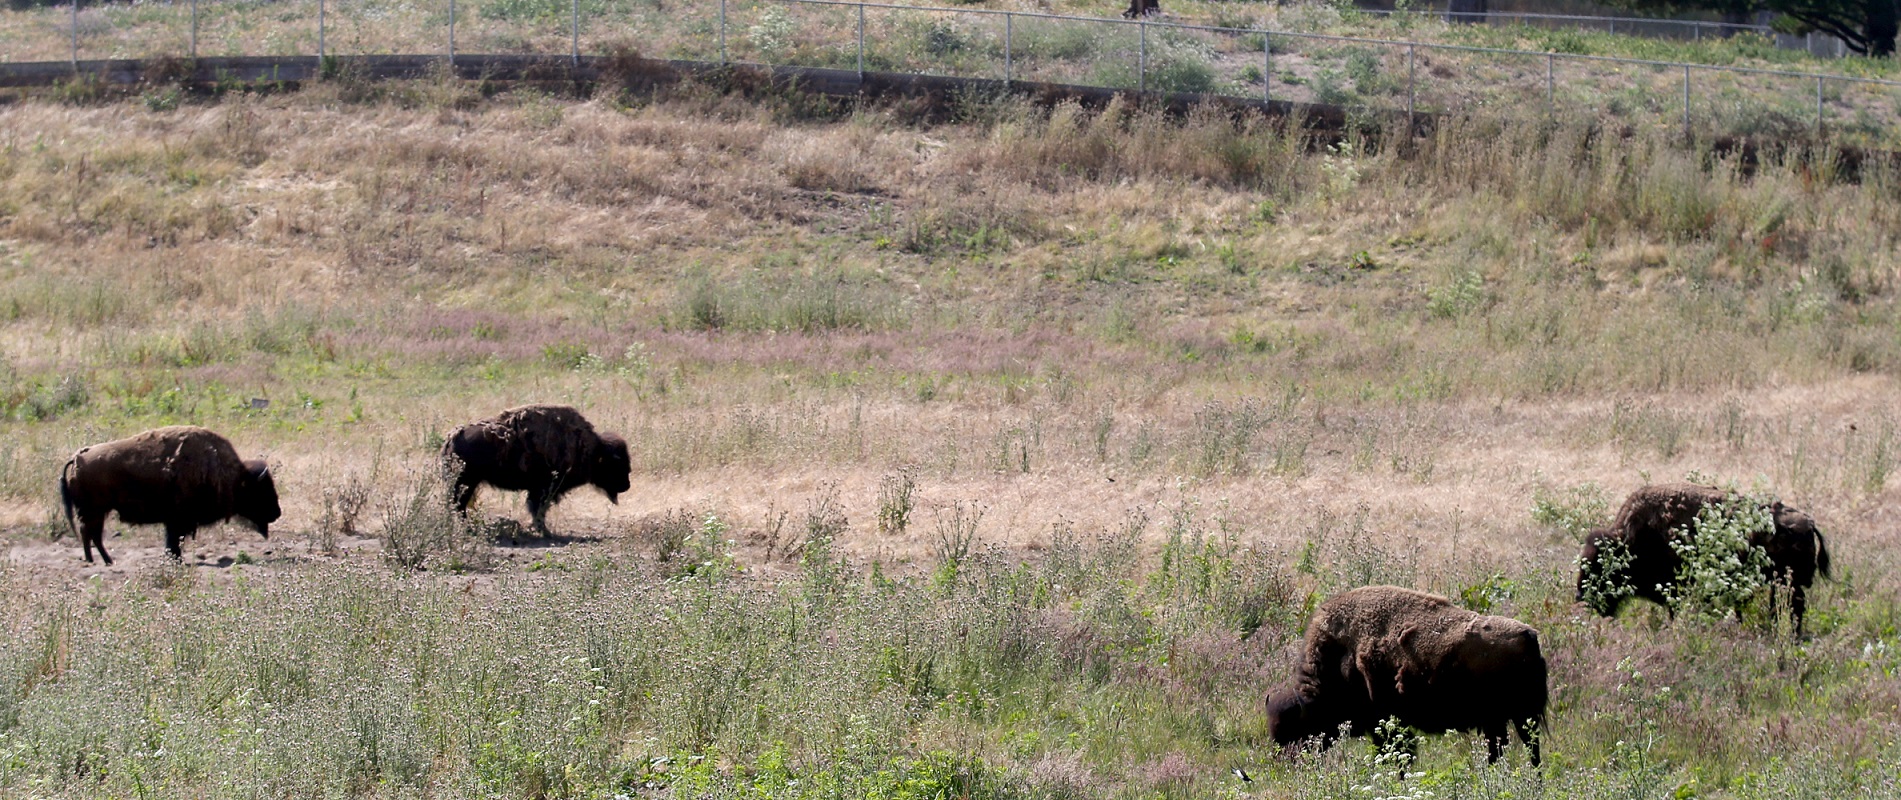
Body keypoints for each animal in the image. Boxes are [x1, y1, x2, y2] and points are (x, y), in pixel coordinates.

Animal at [60, 426, 280, 565]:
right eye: (261, 490)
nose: (277, 512)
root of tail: (76, 458)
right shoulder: (177, 521)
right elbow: (174, 541)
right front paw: (176, 559)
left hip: (96, 512)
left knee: (90, 534)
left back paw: (101, 561)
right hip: (94, 511)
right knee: (90, 533)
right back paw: (103, 561)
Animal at [442, 404, 631, 537]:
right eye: (616, 465)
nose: (626, 486)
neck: (590, 449)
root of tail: (452, 438)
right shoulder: (543, 490)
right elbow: (538, 509)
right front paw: (545, 531)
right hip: (466, 483)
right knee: (459, 505)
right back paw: (468, 529)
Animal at [1267, 585, 1546, 765]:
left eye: (1296, 730)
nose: (1290, 764)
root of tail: (1528, 635)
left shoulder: (1385, 722)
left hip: (1518, 716)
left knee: (1527, 749)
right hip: (1504, 719)